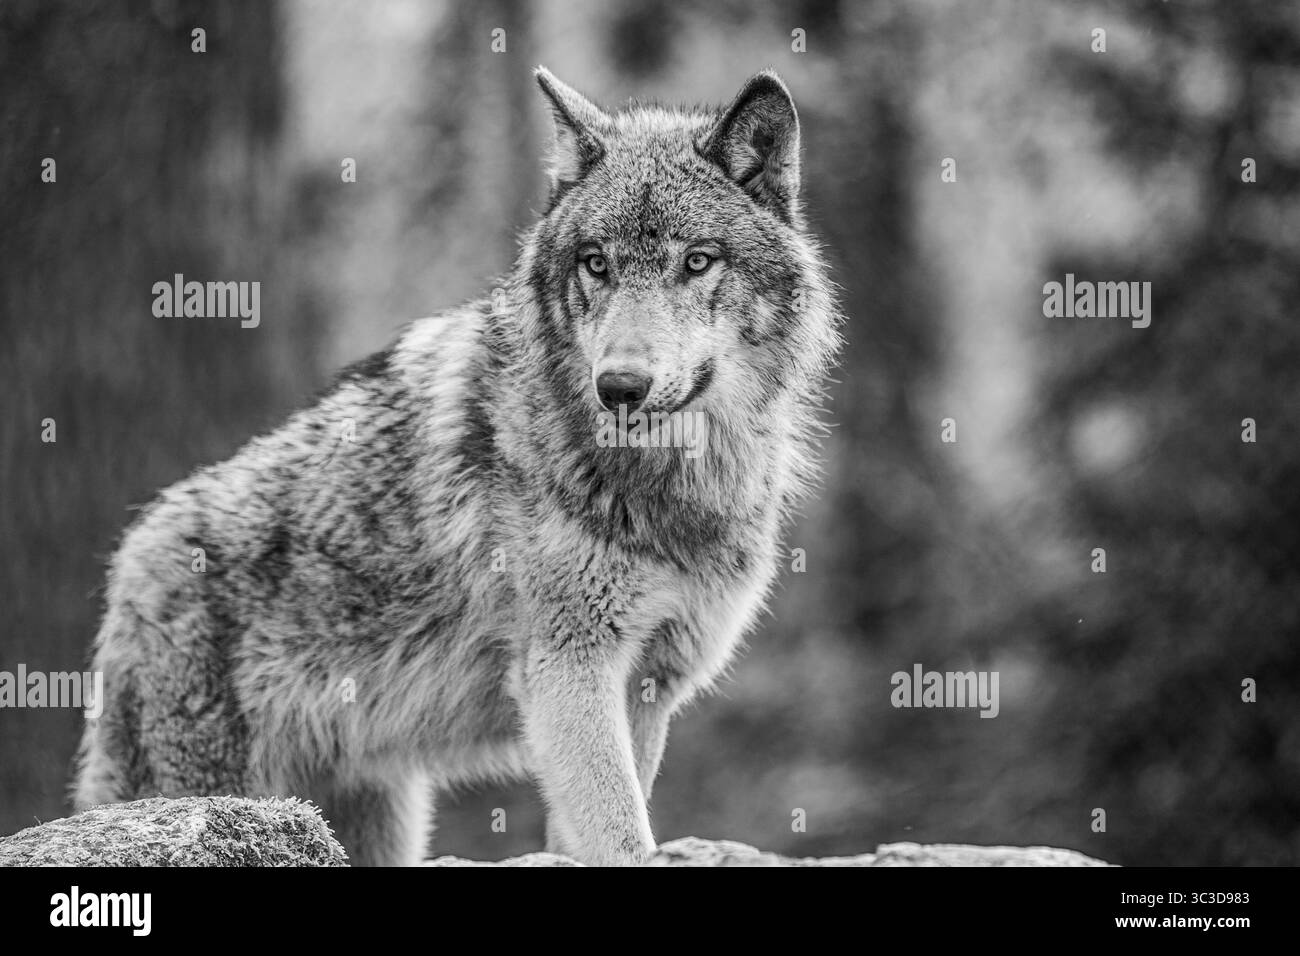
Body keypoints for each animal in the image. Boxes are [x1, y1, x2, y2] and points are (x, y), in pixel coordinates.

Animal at [73, 67, 841, 866]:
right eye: (596, 263)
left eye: (697, 261)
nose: (620, 386)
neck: (672, 482)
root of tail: (130, 560)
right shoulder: (569, 669)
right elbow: (621, 836)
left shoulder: (647, 685)